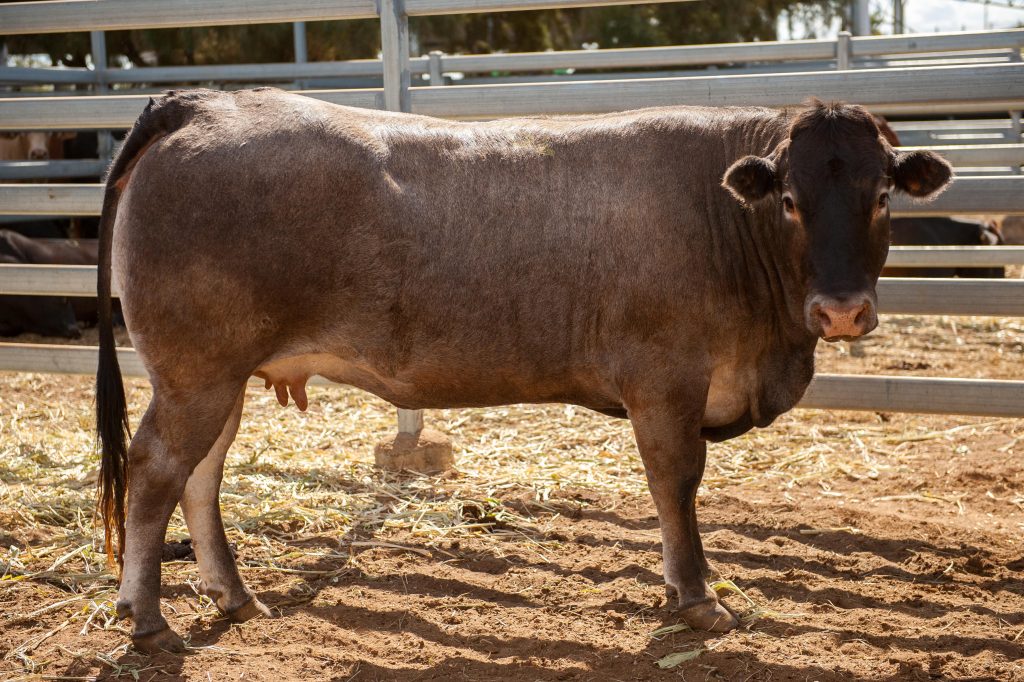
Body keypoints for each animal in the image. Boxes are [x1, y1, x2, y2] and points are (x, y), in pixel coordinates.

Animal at [94, 90, 951, 652]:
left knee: (201, 476)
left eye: (882, 195)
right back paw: (147, 619)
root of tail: (208, 104)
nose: (841, 311)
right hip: (197, 372)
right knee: (156, 471)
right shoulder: (664, 380)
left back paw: (235, 598)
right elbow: (675, 483)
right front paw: (697, 599)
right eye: (791, 202)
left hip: (218, 376)